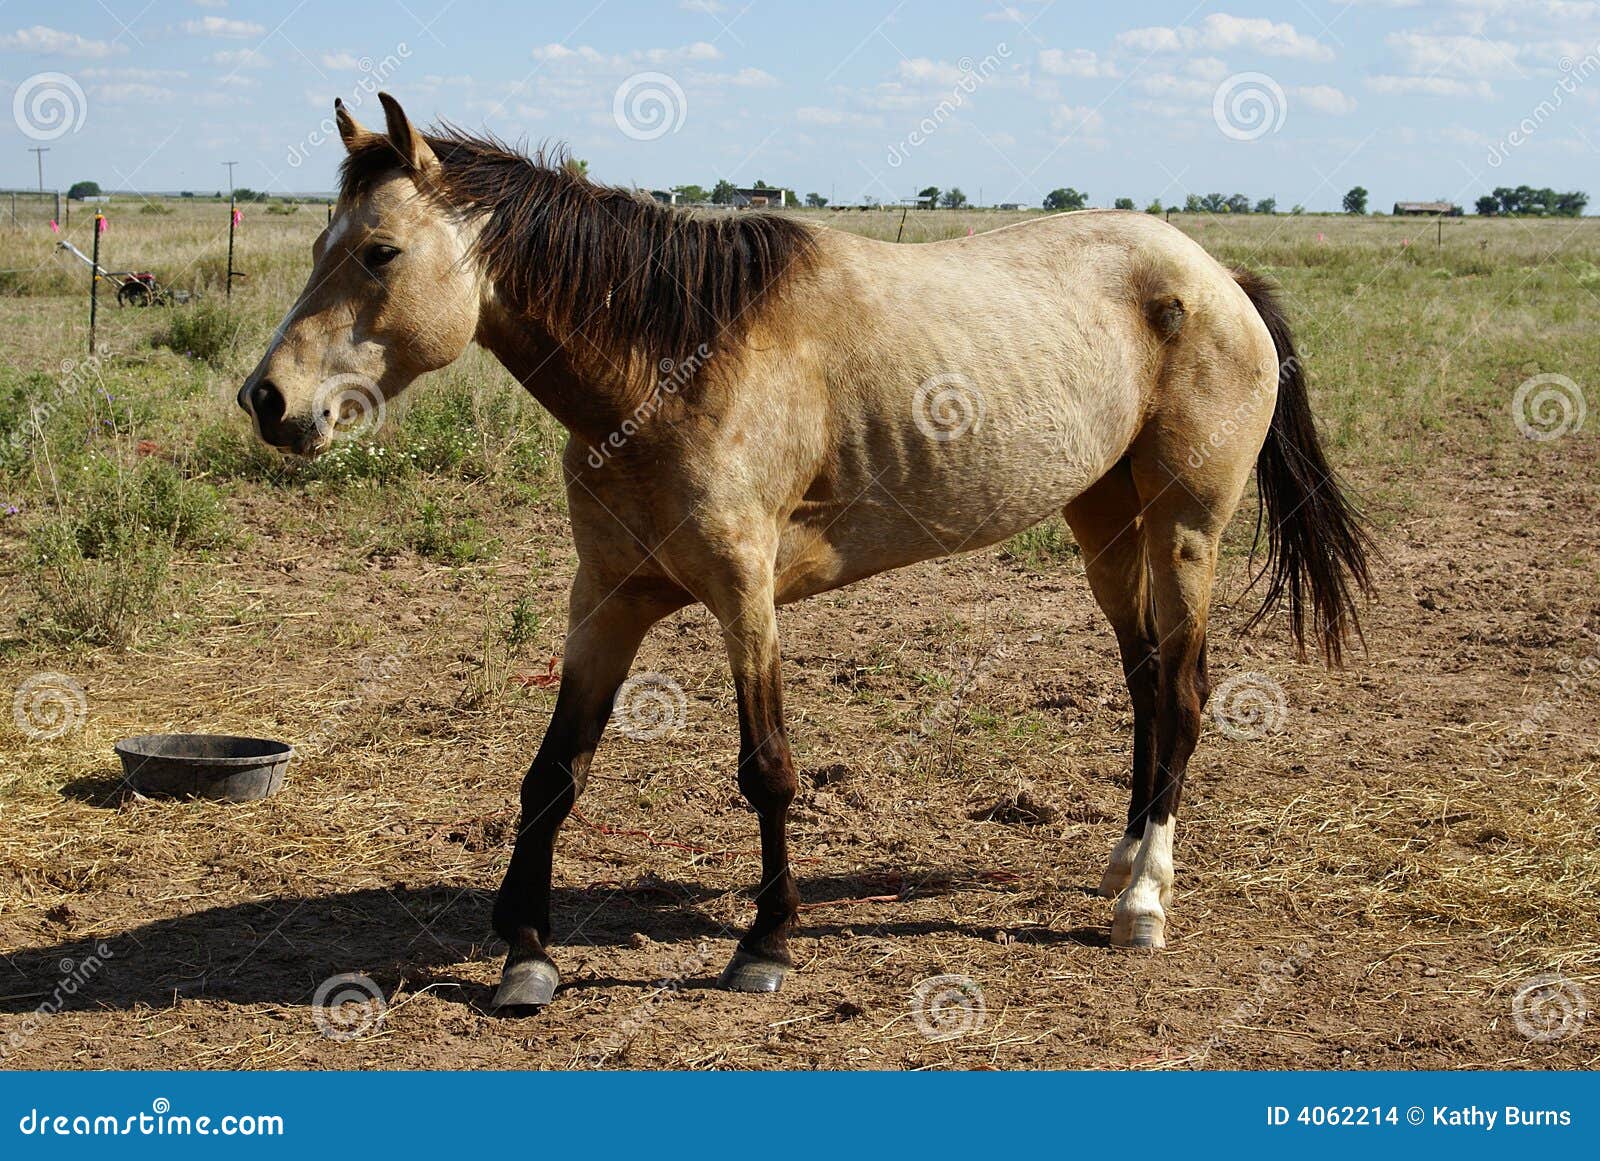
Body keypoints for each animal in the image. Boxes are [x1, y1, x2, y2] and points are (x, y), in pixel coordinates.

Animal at [238, 94, 1372, 1011]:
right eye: (320, 244)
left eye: (380, 252)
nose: (269, 401)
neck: (668, 366)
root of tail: (1217, 276)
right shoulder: (606, 596)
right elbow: (556, 768)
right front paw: (526, 950)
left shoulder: (746, 596)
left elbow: (767, 770)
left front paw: (765, 943)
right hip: (1105, 527)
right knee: (1143, 684)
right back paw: (1122, 859)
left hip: (1185, 531)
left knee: (1181, 693)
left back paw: (1142, 899)